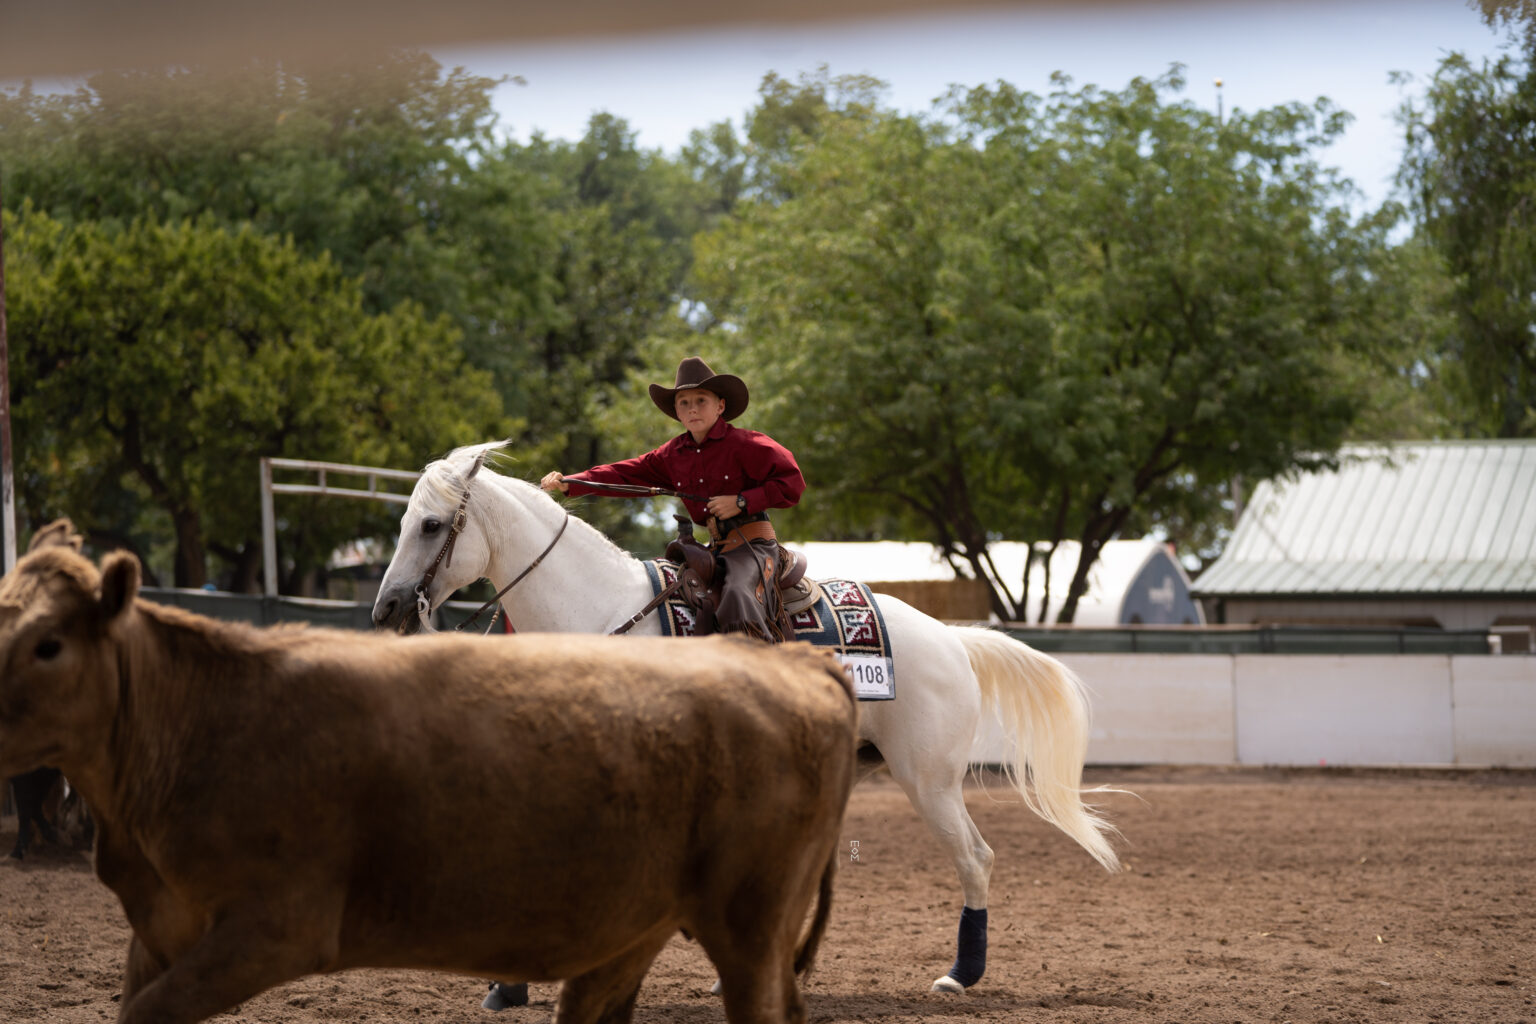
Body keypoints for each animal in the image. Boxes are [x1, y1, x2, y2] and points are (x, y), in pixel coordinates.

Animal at [372, 441, 1121, 995]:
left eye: (432, 525)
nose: (388, 608)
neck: (599, 613)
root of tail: (952, 639)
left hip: (929, 780)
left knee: (975, 857)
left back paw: (961, 974)